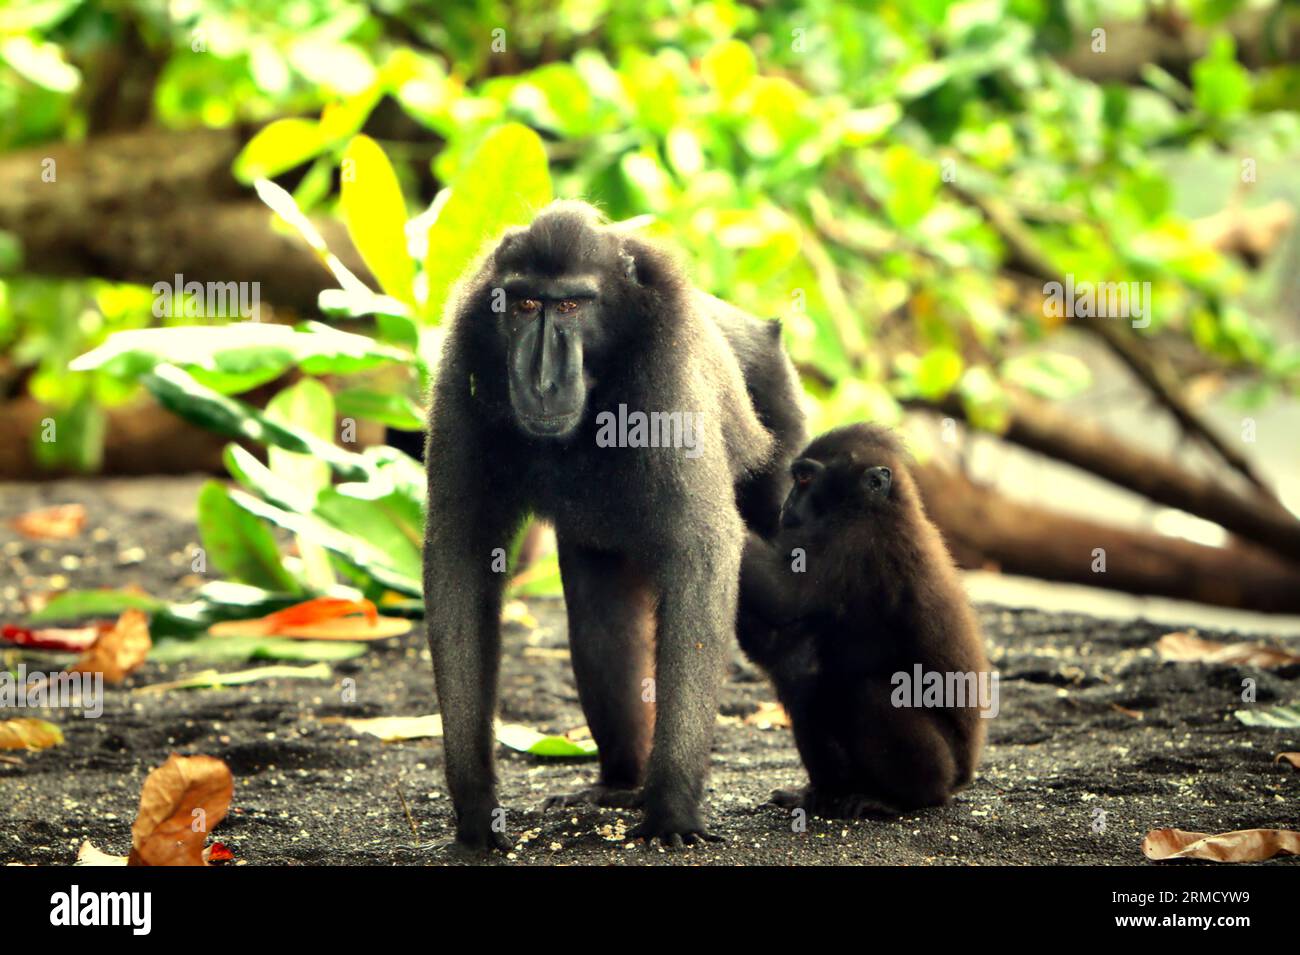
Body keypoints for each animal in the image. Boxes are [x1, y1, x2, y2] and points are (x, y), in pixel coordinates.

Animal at [423, 200, 806, 849]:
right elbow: (461, 557)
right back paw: (620, 783)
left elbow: (701, 551)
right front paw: (476, 805)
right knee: (601, 618)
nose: (543, 377)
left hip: (780, 404)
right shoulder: (464, 360)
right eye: (525, 304)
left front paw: (673, 804)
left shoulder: (669, 369)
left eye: (571, 306)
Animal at [736, 423, 990, 818]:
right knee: (810, 687)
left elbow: (781, 593)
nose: (787, 505)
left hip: (944, 765)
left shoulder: (856, 539)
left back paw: (902, 799)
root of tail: (964, 775)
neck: (878, 506)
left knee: (866, 693)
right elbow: (783, 652)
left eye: (805, 478)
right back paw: (825, 793)